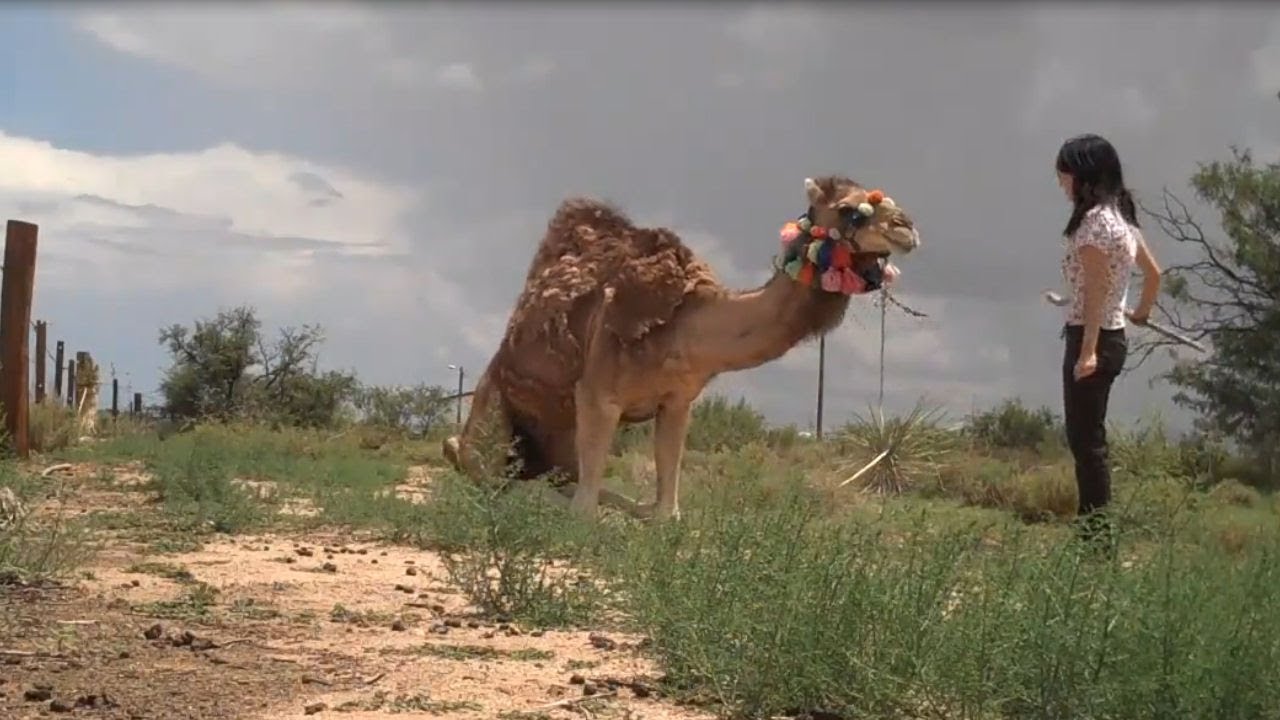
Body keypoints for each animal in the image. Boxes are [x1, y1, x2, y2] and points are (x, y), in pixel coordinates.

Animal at [443, 175, 921, 520]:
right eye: (849, 209)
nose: (907, 227)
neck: (684, 326)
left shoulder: (677, 400)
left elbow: (664, 510)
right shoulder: (598, 393)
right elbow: (584, 511)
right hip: (490, 415)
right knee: (489, 470)